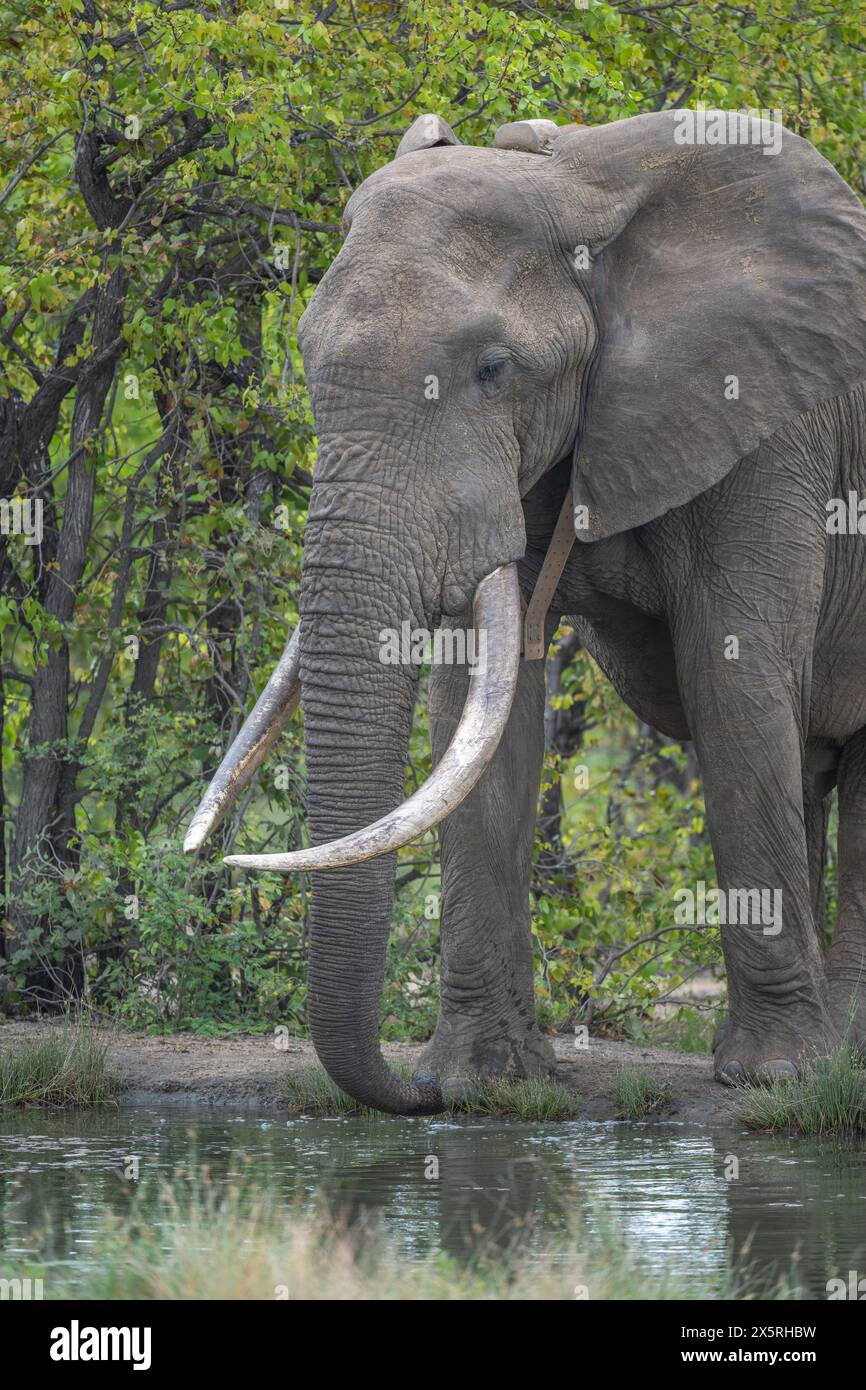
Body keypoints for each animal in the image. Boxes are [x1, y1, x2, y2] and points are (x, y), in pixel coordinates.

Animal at [186, 109, 866, 1116]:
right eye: (304, 355)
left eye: (494, 369)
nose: (413, 1091)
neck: (579, 185)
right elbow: (481, 713)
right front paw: (481, 1082)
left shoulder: (769, 421)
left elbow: (732, 680)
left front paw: (775, 1077)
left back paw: (835, 1054)